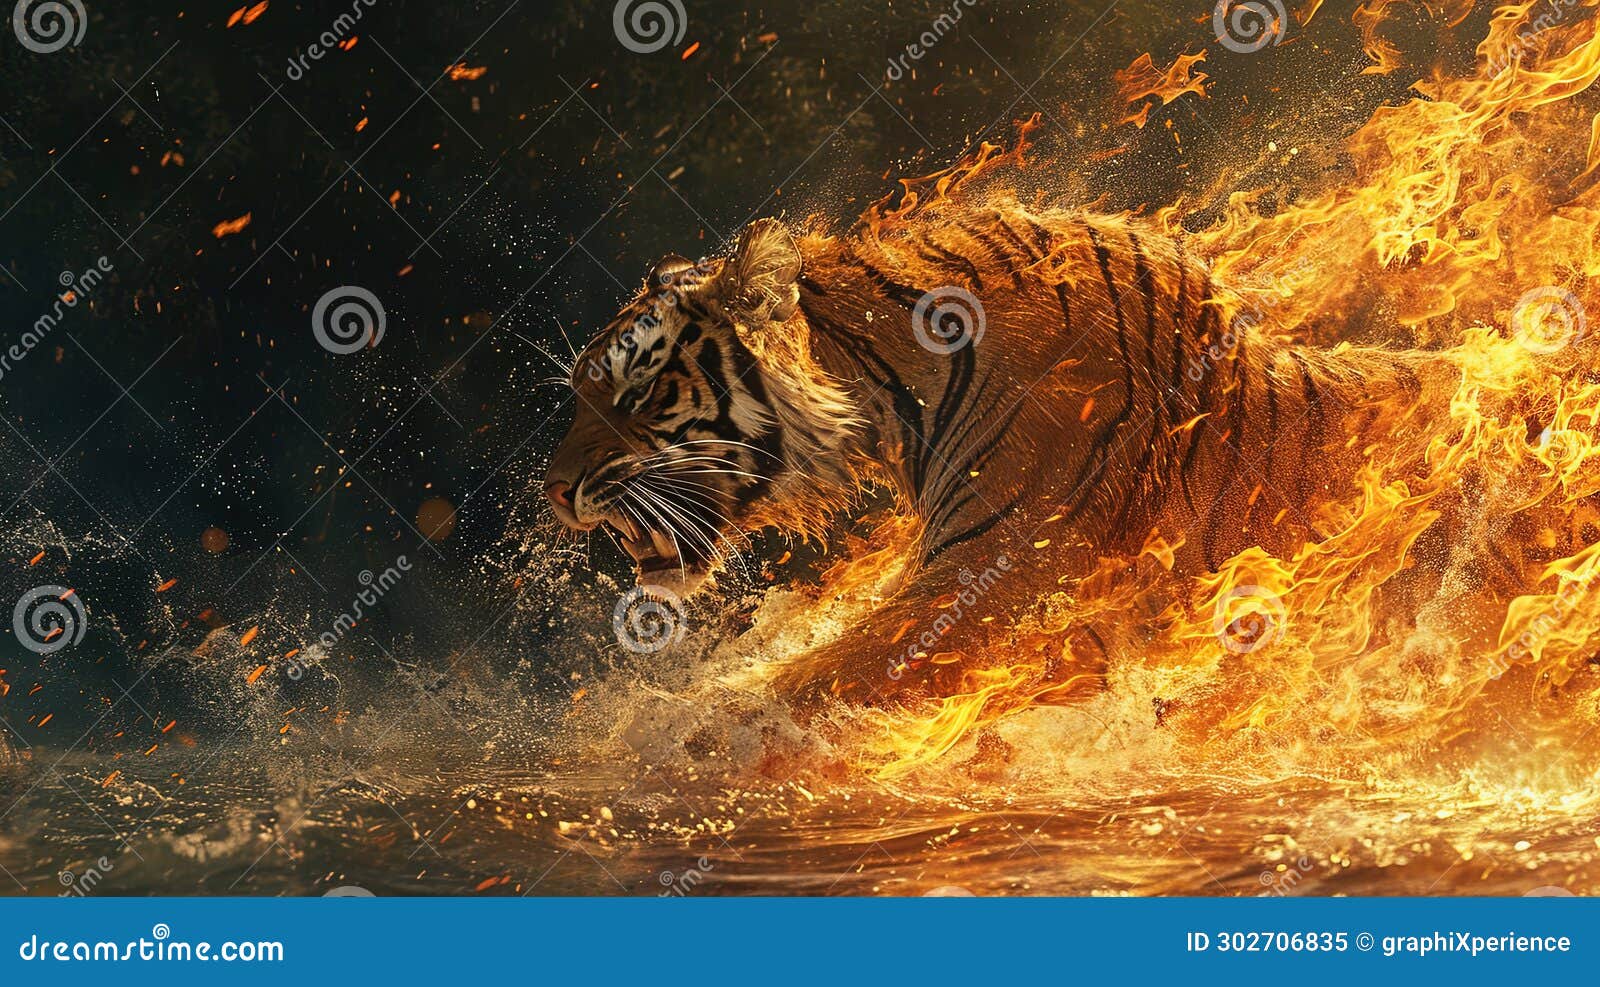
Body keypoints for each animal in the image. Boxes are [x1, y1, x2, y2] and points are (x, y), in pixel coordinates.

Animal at [543, 144, 1471, 704]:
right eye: (579, 394)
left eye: (634, 389)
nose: (551, 493)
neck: (887, 386)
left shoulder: (980, 577)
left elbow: (801, 687)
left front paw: (663, 740)